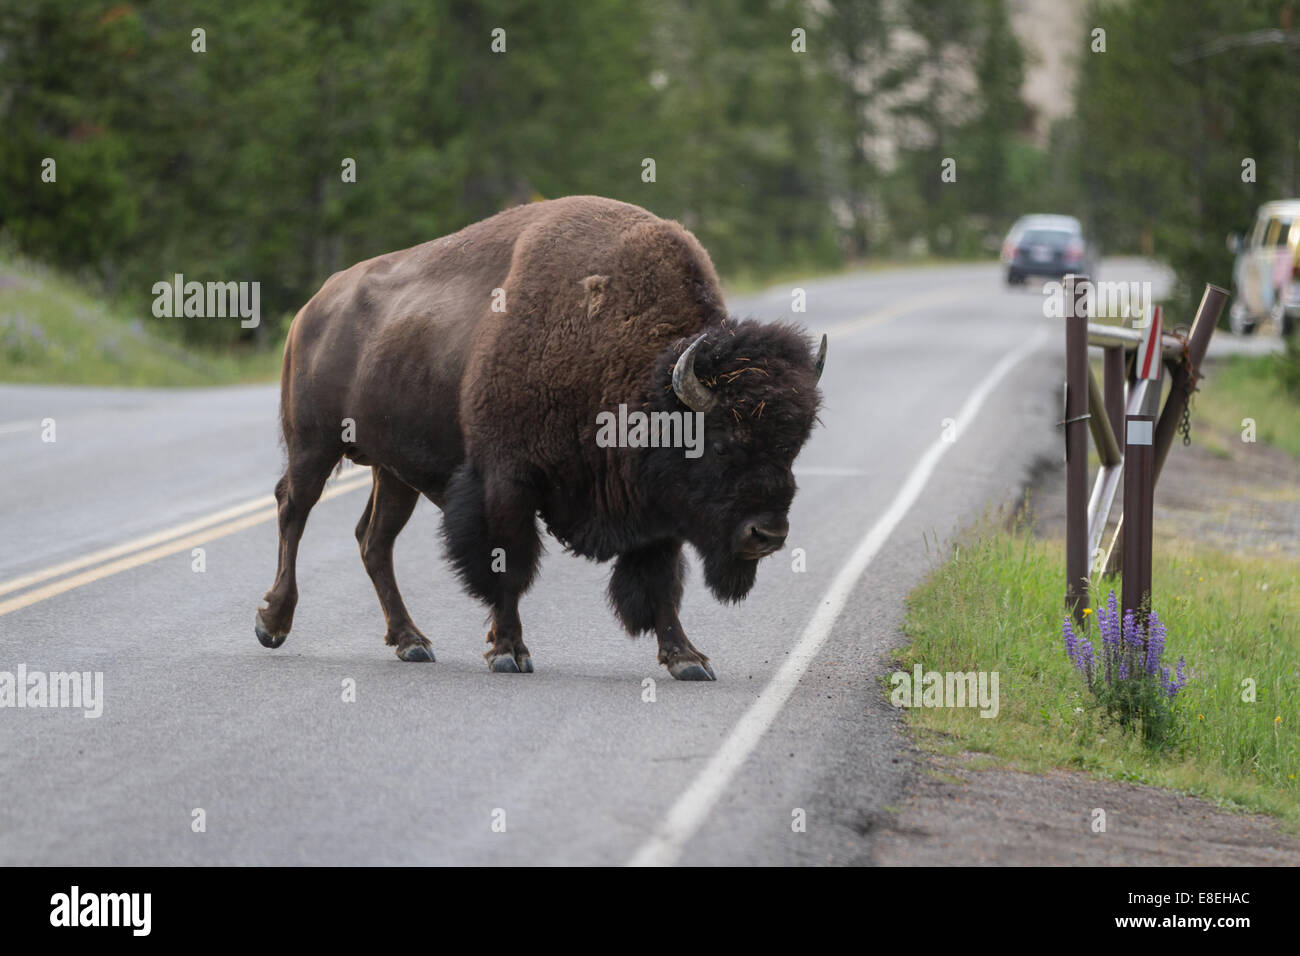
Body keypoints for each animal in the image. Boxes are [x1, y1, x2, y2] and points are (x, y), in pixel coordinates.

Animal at [255, 196, 825, 680]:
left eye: (793, 446)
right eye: (721, 441)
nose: (768, 535)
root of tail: (314, 307)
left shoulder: (653, 508)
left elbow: (660, 583)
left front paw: (687, 659)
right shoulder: (505, 483)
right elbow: (508, 566)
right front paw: (509, 652)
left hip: (392, 471)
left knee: (373, 540)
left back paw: (411, 641)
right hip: (314, 444)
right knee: (293, 510)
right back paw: (272, 624)